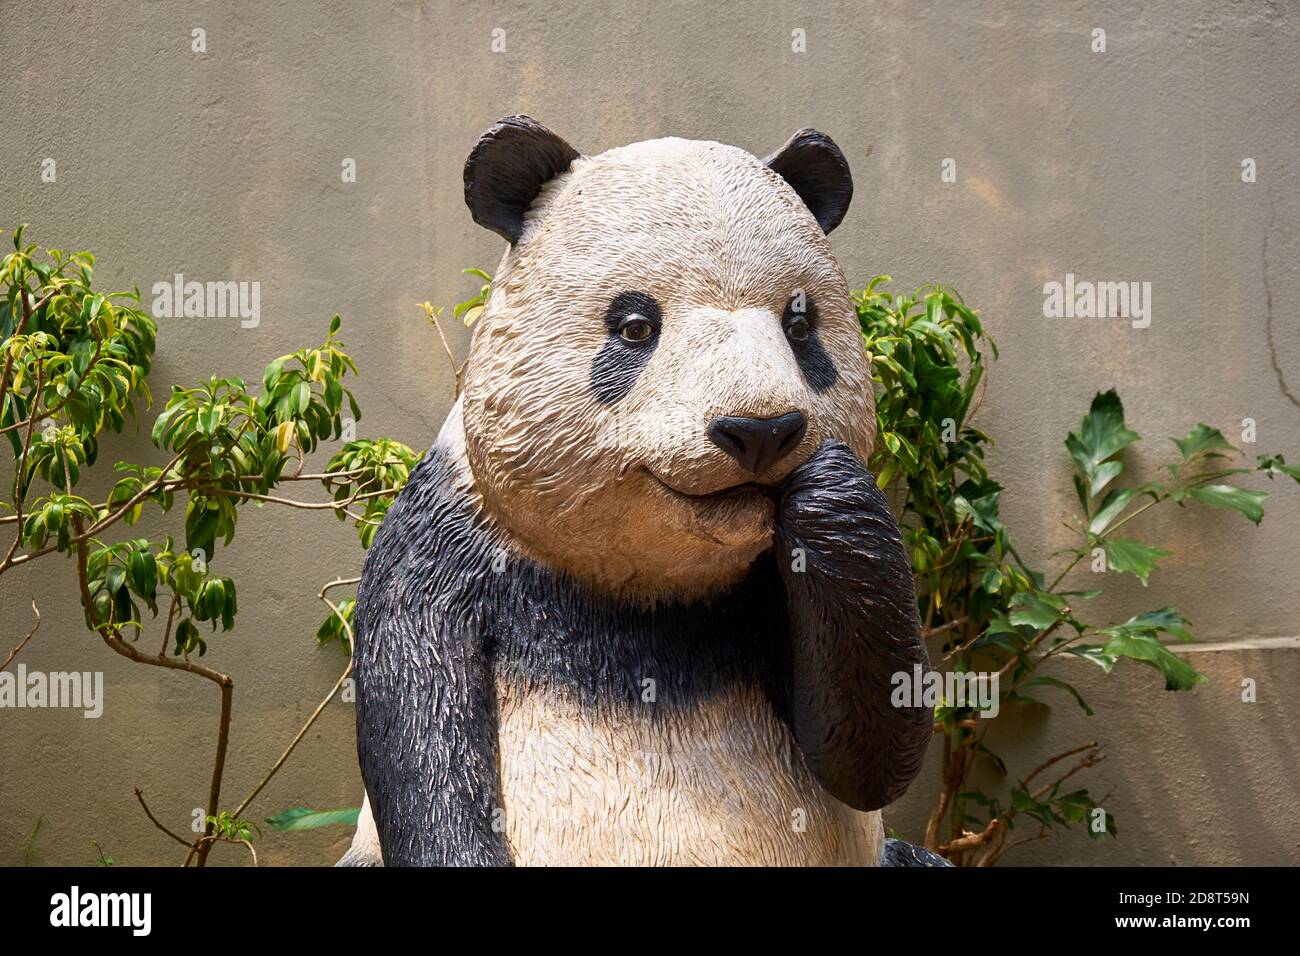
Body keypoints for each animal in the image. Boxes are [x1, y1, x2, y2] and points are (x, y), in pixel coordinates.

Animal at [341, 116, 946, 867]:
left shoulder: (765, 580)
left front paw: (832, 498)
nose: (761, 431)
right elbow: (419, 727)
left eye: (800, 326)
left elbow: (864, 756)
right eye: (635, 326)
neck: (646, 585)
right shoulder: (448, 545)